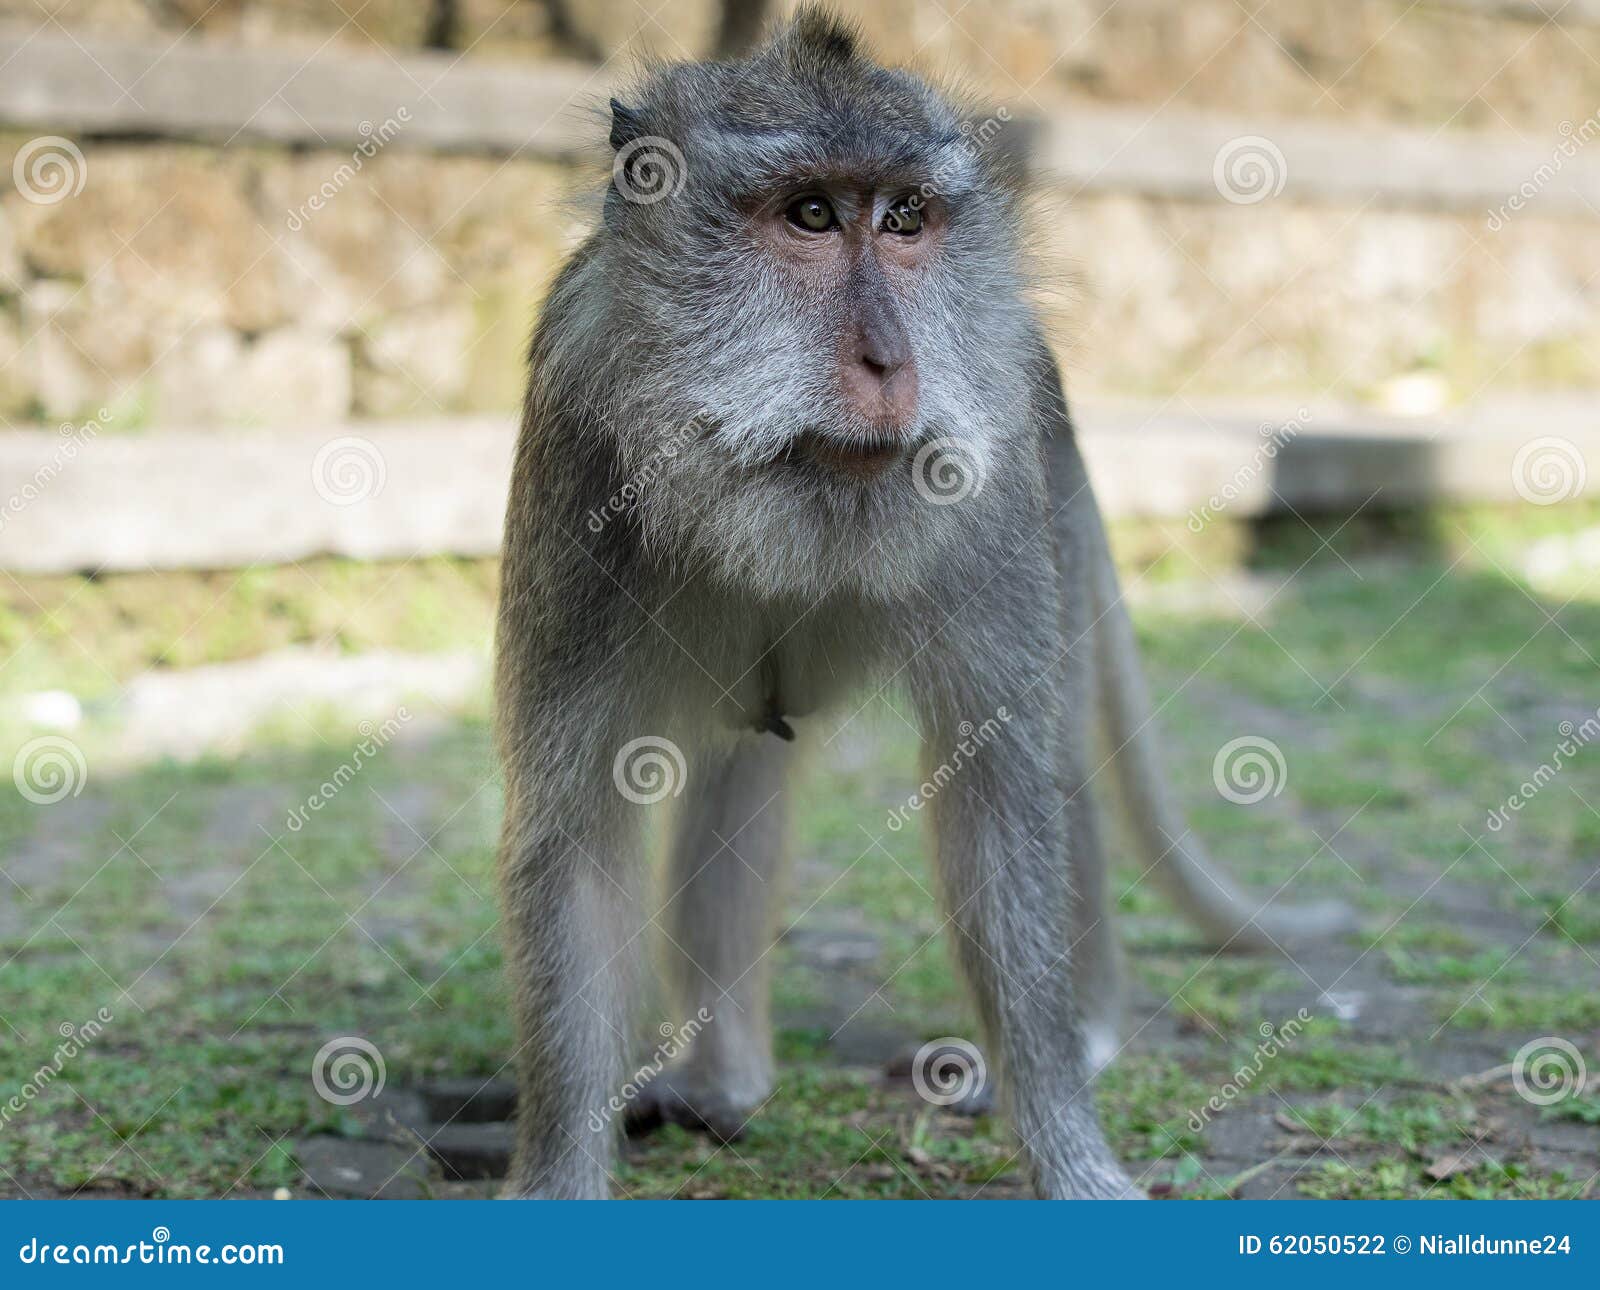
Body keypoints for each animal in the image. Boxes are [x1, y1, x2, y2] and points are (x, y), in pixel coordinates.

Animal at [493, 7, 1352, 1200]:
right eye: (810, 215)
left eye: (905, 220)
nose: (889, 360)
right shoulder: (574, 471)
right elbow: (579, 824)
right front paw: (560, 1175)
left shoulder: (987, 498)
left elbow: (1000, 794)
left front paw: (1072, 1152)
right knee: (733, 757)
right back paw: (725, 1076)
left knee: (1056, 766)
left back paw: (1089, 1026)